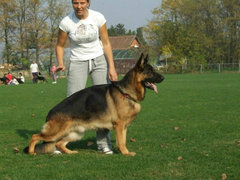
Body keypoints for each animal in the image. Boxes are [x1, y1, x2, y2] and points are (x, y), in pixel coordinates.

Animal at [27, 53, 164, 156]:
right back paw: (31, 152)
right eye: (150, 71)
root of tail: (50, 112)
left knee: (59, 143)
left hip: (75, 133)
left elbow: (123, 141)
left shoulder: (124, 127)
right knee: (35, 136)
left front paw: (124, 152)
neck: (126, 92)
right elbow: (121, 142)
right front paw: (126, 153)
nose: (163, 78)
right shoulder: (119, 126)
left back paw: (70, 152)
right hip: (55, 132)